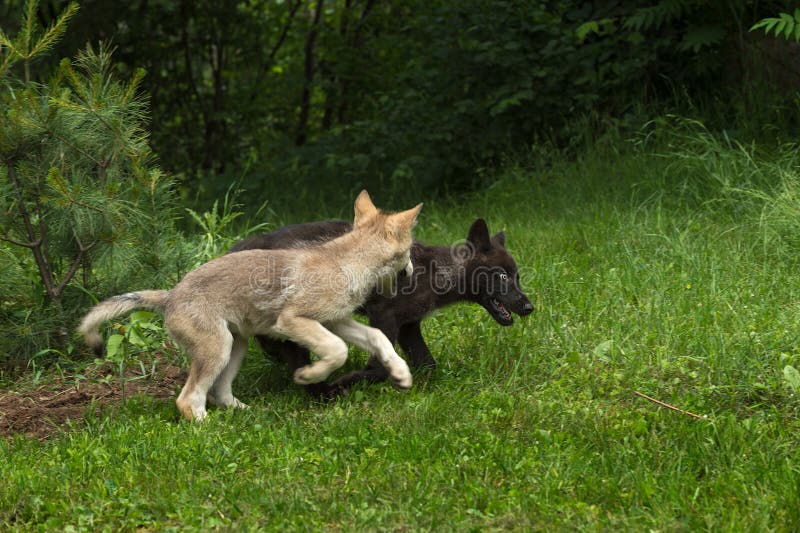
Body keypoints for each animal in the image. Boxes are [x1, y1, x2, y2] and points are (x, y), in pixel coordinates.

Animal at [78, 191, 422, 420]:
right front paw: (308, 376)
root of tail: (169, 296)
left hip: (235, 347)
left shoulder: (334, 322)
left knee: (218, 393)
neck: (346, 264)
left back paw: (248, 416)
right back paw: (208, 431)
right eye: (409, 252)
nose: (411, 272)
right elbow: (338, 351)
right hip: (217, 350)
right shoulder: (293, 321)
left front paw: (401, 374)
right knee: (189, 400)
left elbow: (376, 338)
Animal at [230, 217, 533, 397]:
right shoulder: (384, 318)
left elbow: (428, 364)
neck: (435, 272)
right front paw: (347, 382)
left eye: (517, 276)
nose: (529, 306)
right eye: (501, 276)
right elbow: (379, 369)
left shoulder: (409, 326)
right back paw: (322, 392)